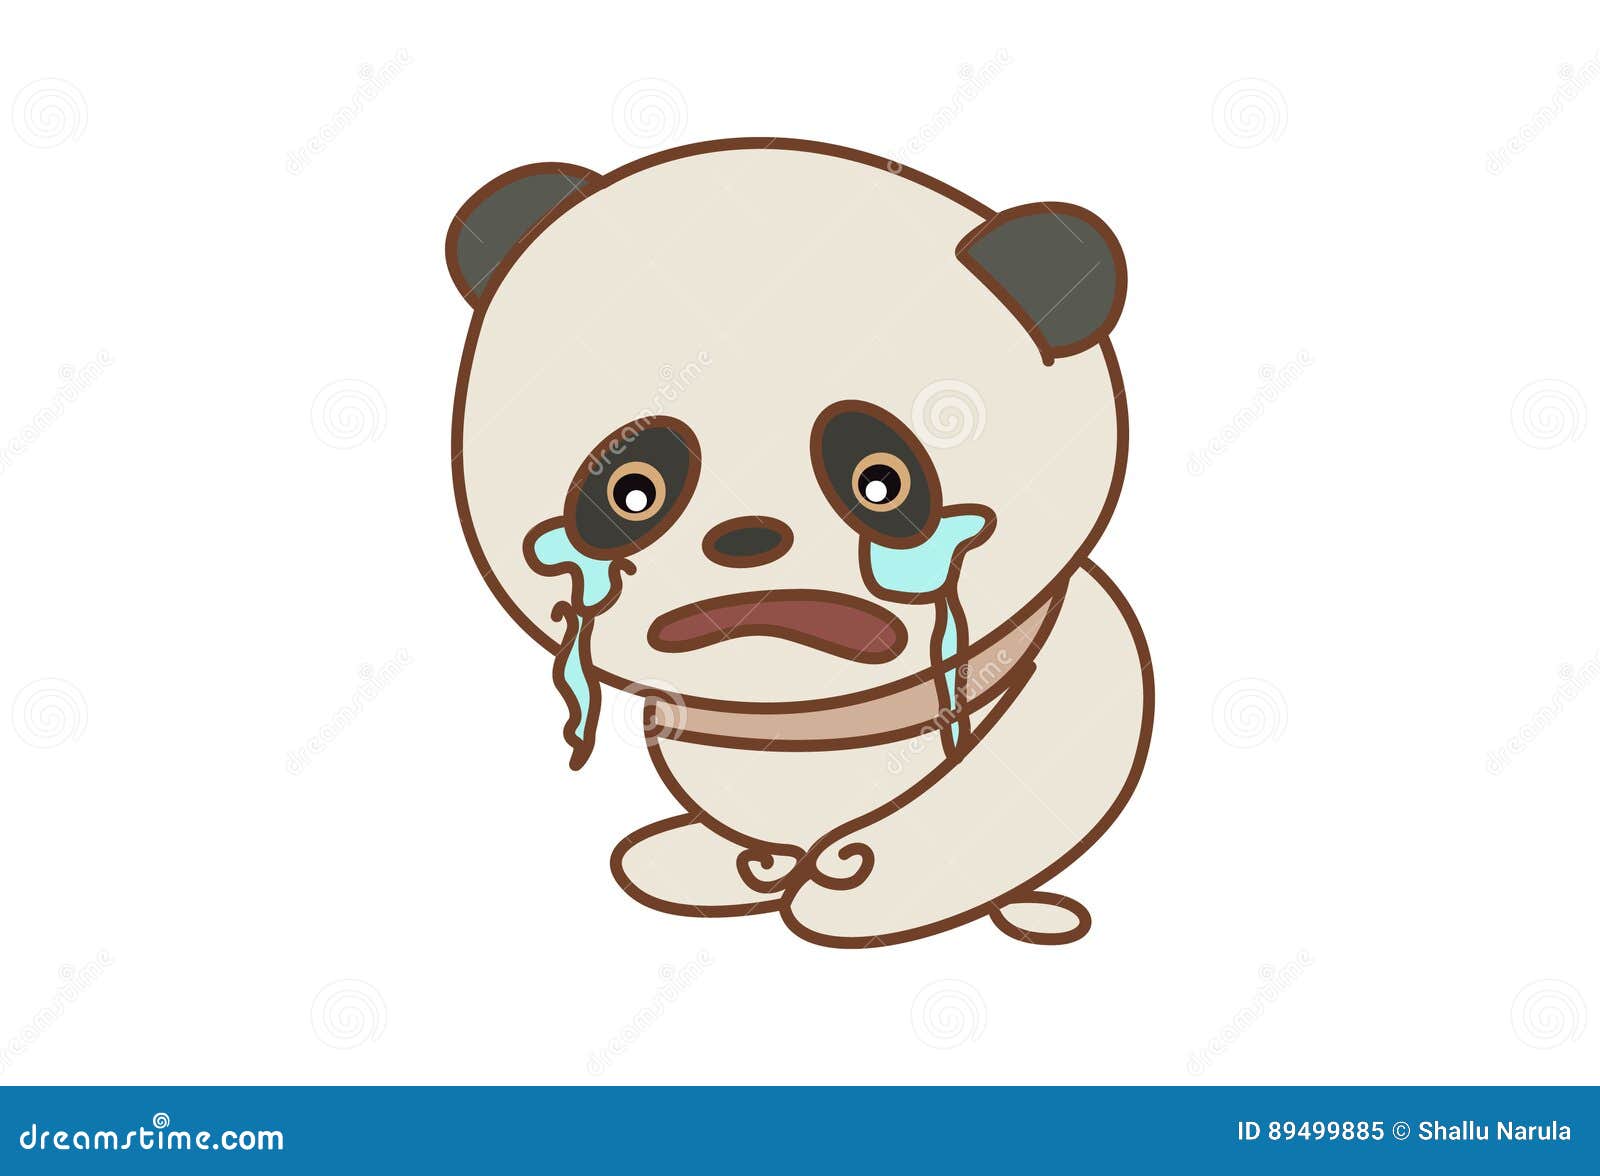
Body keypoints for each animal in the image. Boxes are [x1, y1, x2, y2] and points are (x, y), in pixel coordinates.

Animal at [446, 138, 1152, 948]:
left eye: (882, 482)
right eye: (631, 490)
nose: (749, 535)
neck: (798, 721)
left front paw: (855, 885)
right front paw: (726, 868)